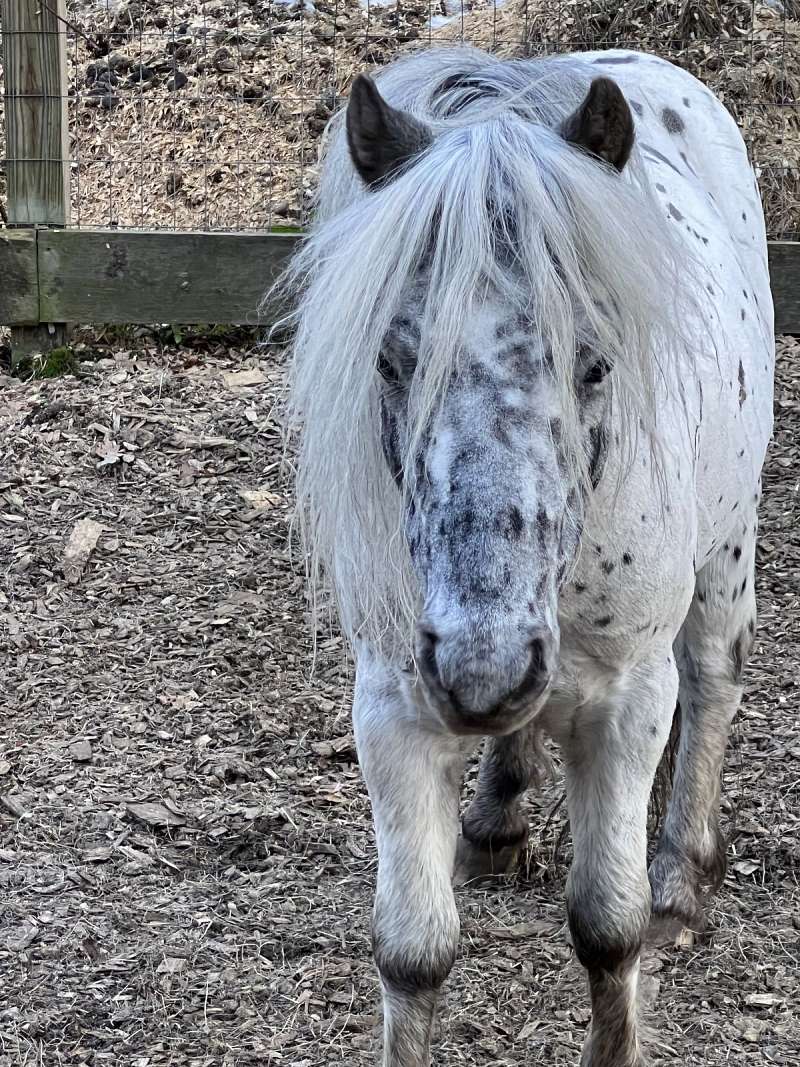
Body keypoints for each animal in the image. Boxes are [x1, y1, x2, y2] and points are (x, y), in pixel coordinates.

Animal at [276, 44, 775, 1067]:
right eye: (392, 361)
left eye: (595, 362)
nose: (483, 664)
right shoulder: (393, 704)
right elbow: (413, 949)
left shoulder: (630, 702)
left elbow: (608, 926)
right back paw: (496, 815)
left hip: (728, 548)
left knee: (713, 680)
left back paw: (682, 870)